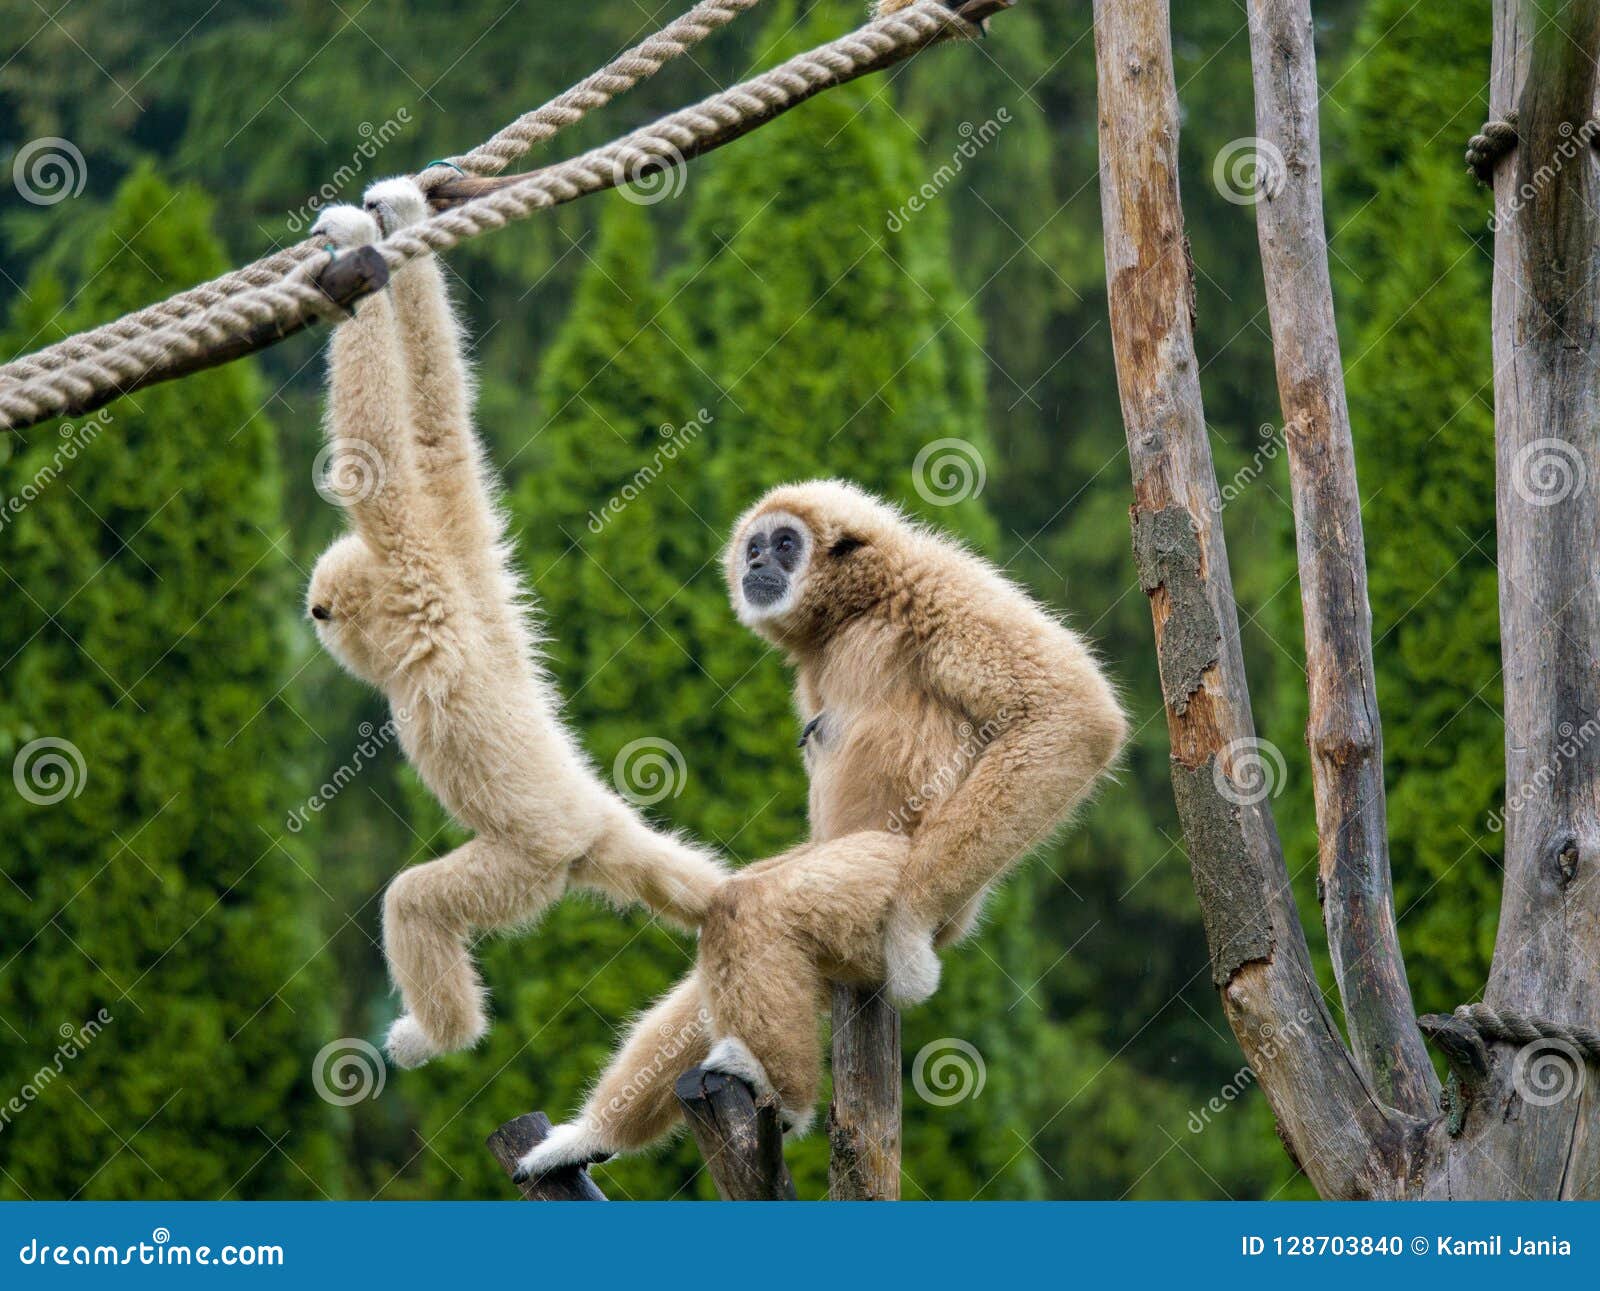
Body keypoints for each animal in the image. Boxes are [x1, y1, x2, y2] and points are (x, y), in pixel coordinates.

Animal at [304, 179, 726, 1070]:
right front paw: (399, 220)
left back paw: (433, 1037)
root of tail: (589, 815)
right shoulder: (465, 563)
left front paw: (357, 254)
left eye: (323, 612)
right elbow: (437, 440)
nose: (312, 616)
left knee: (414, 902)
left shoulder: (421, 572)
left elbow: (377, 463)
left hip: (530, 867)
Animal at [515, 480, 1127, 1178]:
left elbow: (1071, 710)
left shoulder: (938, 584)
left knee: (754, 904)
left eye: (786, 543)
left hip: (897, 873)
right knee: (731, 910)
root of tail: (964, 912)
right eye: (755, 546)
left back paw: (782, 1093)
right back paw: (597, 1133)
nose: (757, 561)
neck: (856, 610)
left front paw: (909, 933)